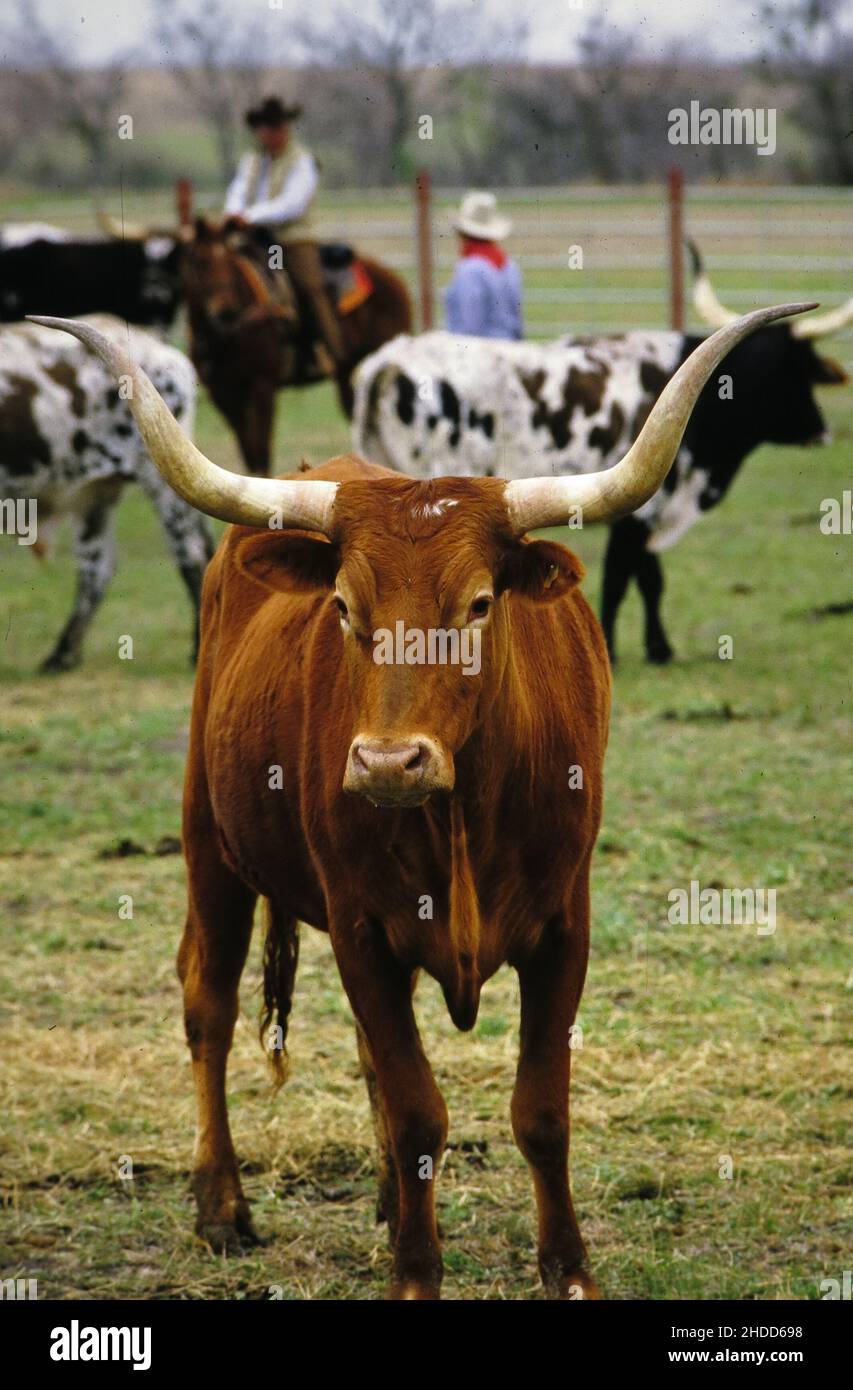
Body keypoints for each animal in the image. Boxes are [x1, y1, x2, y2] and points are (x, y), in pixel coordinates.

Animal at [1, 315, 212, 671]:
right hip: (95, 492)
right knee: (97, 567)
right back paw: (62, 654)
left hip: (158, 477)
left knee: (191, 554)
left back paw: (198, 651)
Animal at [34, 302, 809, 1299]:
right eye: (342, 606)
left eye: (477, 604)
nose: (387, 763)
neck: (461, 815)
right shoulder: (362, 930)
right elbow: (417, 1113)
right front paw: (414, 1272)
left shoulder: (565, 929)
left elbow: (537, 1112)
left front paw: (566, 1270)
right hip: (208, 835)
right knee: (207, 1001)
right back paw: (223, 1207)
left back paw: (379, 1201)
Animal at [353, 293, 850, 665]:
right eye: (794, 369)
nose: (822, 429)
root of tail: (391, 360)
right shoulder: (642, 512)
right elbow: (631, 579)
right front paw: (630, 649)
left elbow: (640, 576)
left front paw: (647, 647)